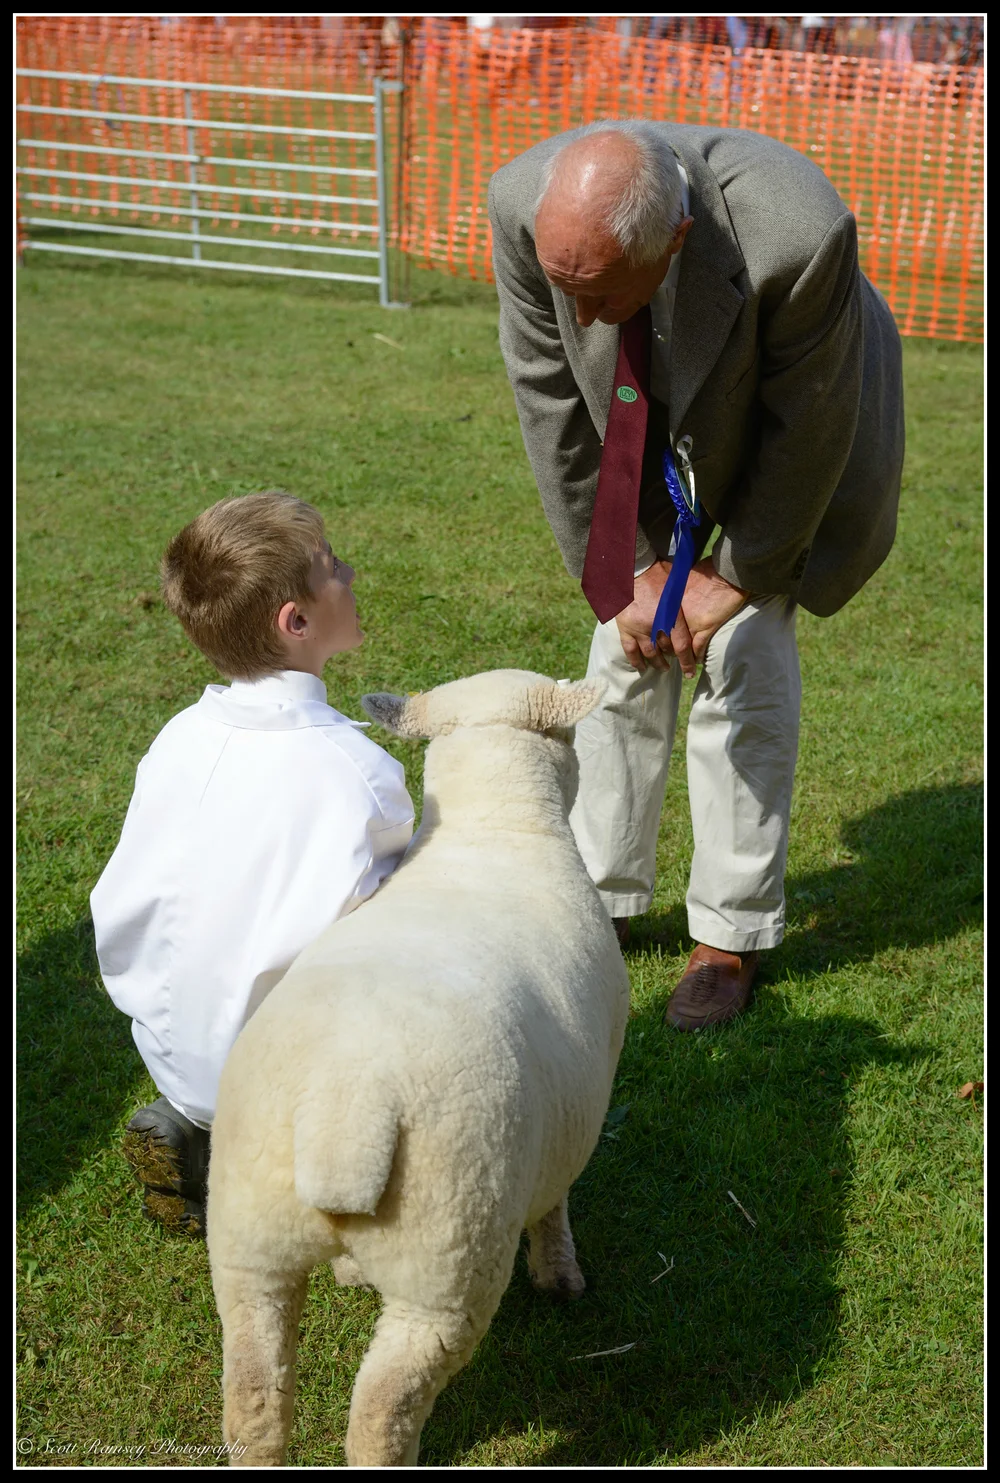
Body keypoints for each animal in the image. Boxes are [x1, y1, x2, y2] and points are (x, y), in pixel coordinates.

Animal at [206, 668, 632, 1467]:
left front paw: (350, 1269)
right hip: (446, 1264)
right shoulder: (574, 1114)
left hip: (250, 1243)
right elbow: (557, 1199)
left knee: (252, 1394)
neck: (492, 828)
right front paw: (560, 1273)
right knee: (383, 1410)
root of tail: (344, 1116)